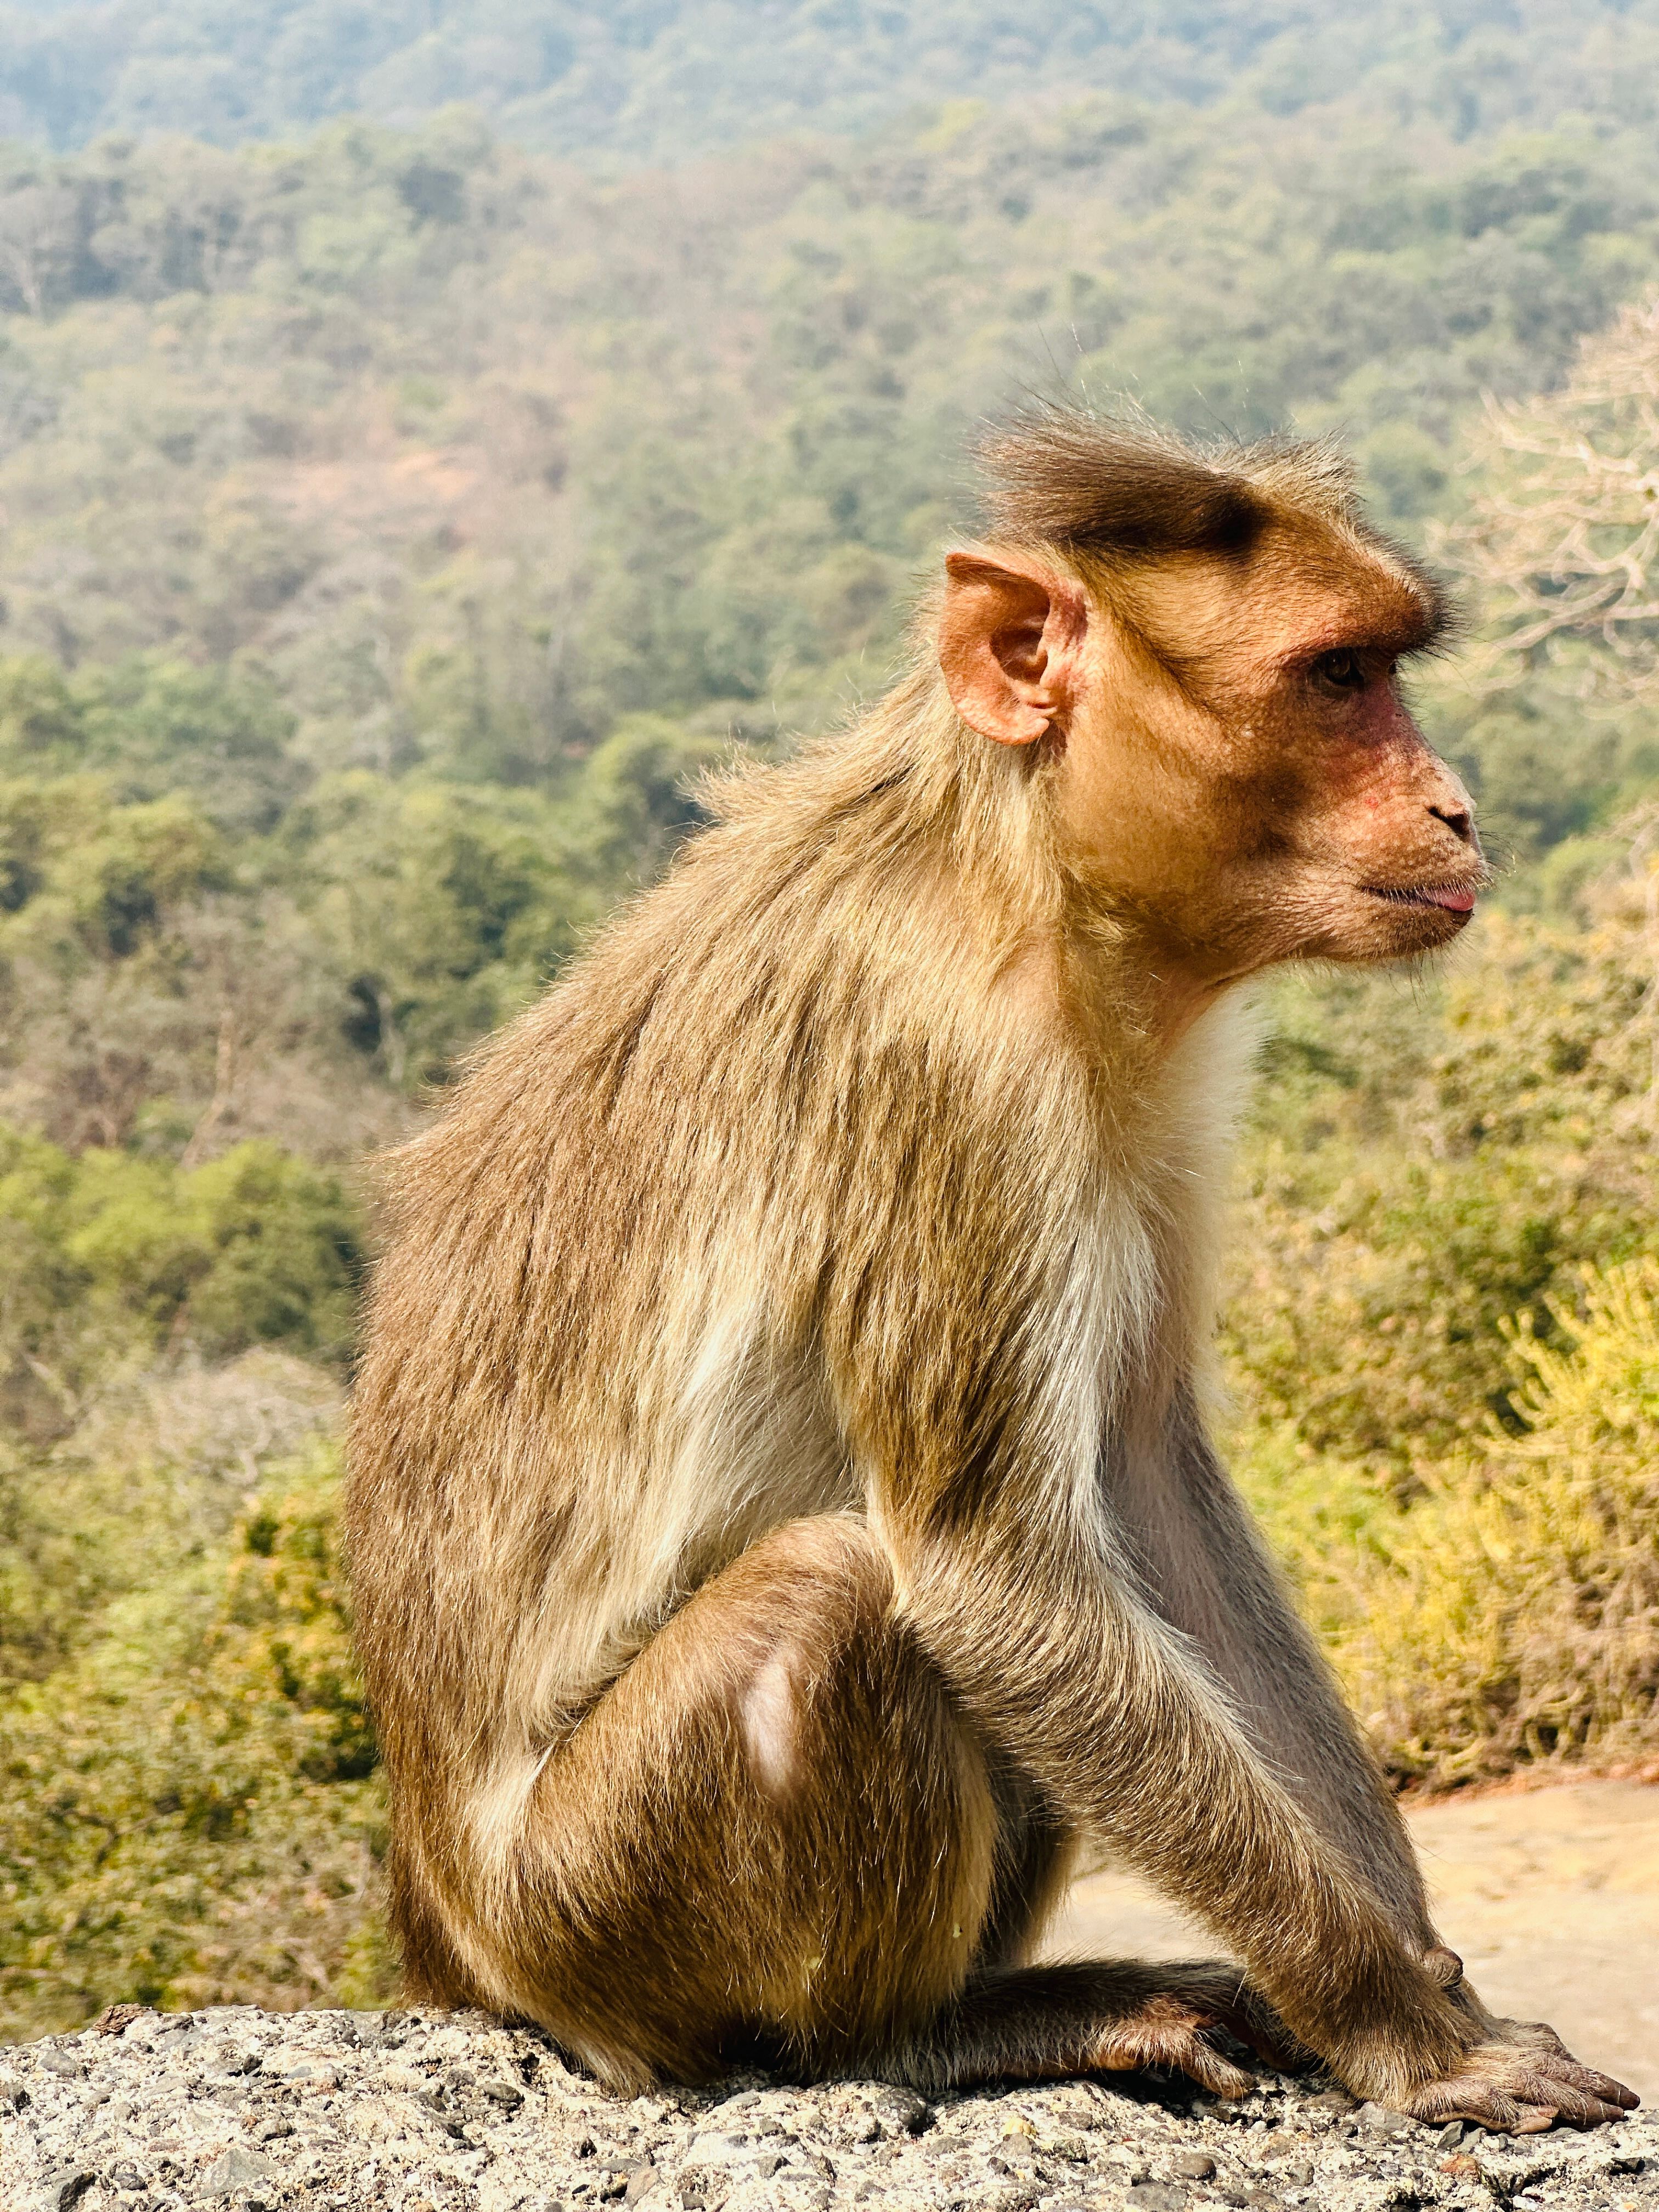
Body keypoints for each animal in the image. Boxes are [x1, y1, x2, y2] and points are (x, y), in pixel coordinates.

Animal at [345, 409, 1639, 2133]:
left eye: (1381, 667)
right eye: (1337, 679)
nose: (1457, 809)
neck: (1031, 883)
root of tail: (462, 1949)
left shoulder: (1161, 1088)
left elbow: (1149, 1485)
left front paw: (1427, 1976)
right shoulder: (951, 1070)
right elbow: (995, 1577)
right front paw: (1400, 2025)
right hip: (599, 1911)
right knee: (842, 1600)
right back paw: (914, 2037)